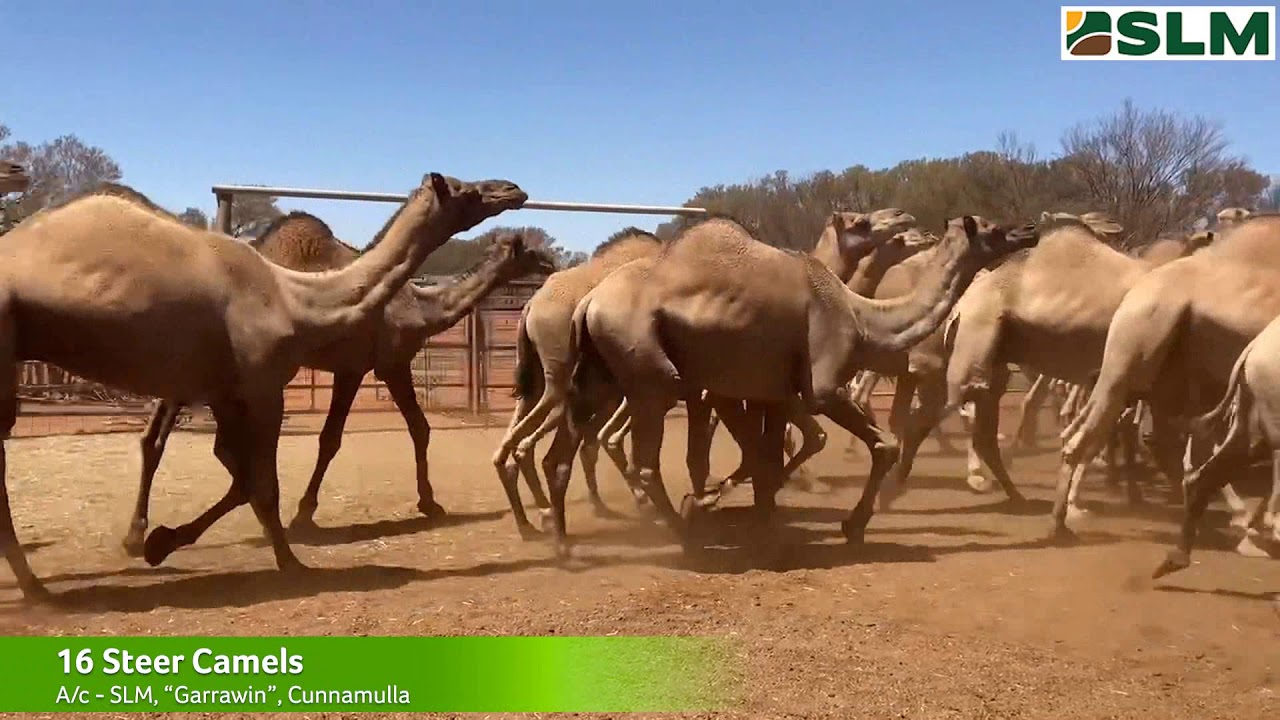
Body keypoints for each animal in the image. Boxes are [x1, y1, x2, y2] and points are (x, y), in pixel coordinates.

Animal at [122, 212, 557, 555]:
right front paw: (307, 513)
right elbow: (360, 436)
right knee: (170, 438)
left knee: (154, 437)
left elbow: (395, 430)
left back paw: (136, 534)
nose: (552, 263)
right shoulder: (373, 366)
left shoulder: (371, 367)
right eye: (528, 251)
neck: (418, 307)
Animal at [493, 210, 917, 539]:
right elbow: (769, 443)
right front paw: (718, 497)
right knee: (557, 439)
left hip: (571, 385)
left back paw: (557, 515)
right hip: (576, 379)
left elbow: (756, 444)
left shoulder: (735, 388)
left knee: (562, 439)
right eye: (862, 222)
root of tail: (531, 305)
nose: (908, 222)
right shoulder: (727, 389)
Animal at [559, 215, 1039, 555]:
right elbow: (881, 444)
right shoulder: (820, 388)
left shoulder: (774, 392)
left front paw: (756, 520)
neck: (862, 317)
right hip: (651, 377)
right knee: (643, 456)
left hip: (609, 376)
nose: (1031, 228)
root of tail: (590, 302)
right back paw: (683, 534)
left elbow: (768, 460)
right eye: (992, 227)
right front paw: (851, 525)